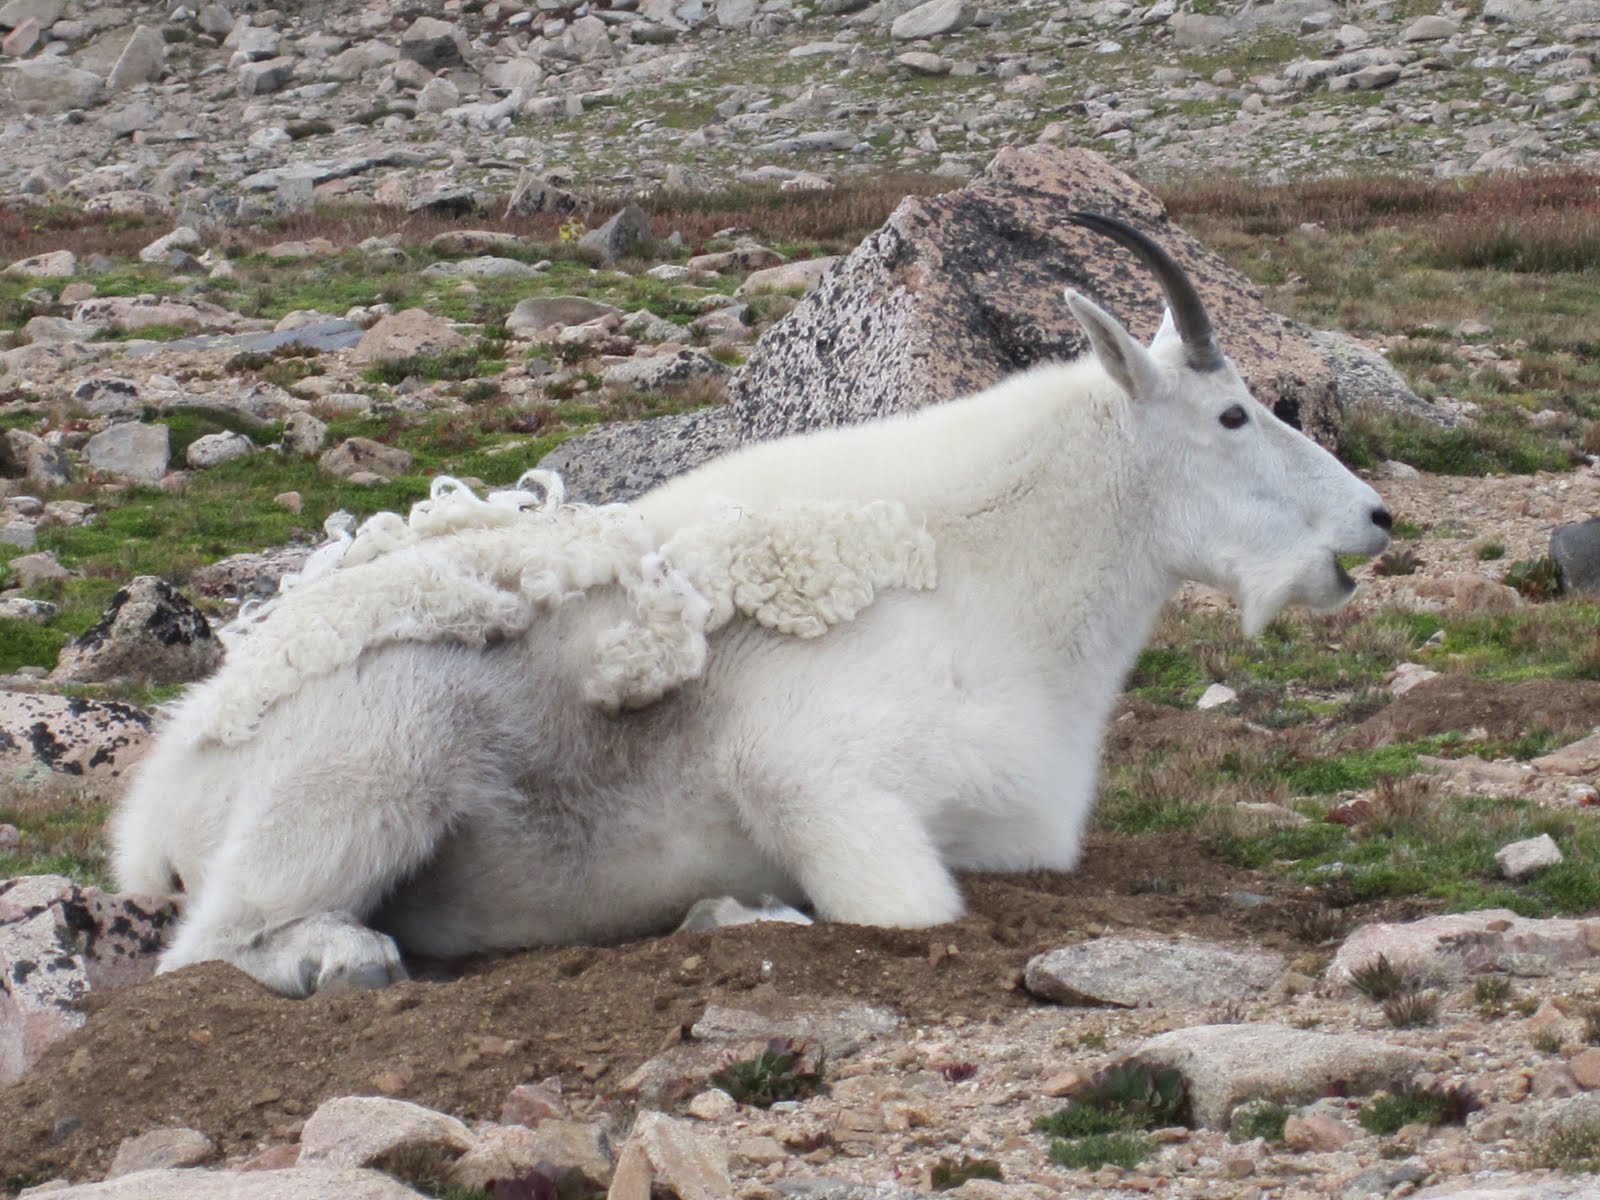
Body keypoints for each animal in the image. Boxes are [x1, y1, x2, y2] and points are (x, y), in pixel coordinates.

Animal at [112, 214, 1393, 997]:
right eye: (1231, 415)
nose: (1373, 522)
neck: (993, 591)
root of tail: (167, 787)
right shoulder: (826, 792)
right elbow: (904, 915)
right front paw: (740, 917)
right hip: (366, 773)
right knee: (206, 952)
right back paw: (350, 954)